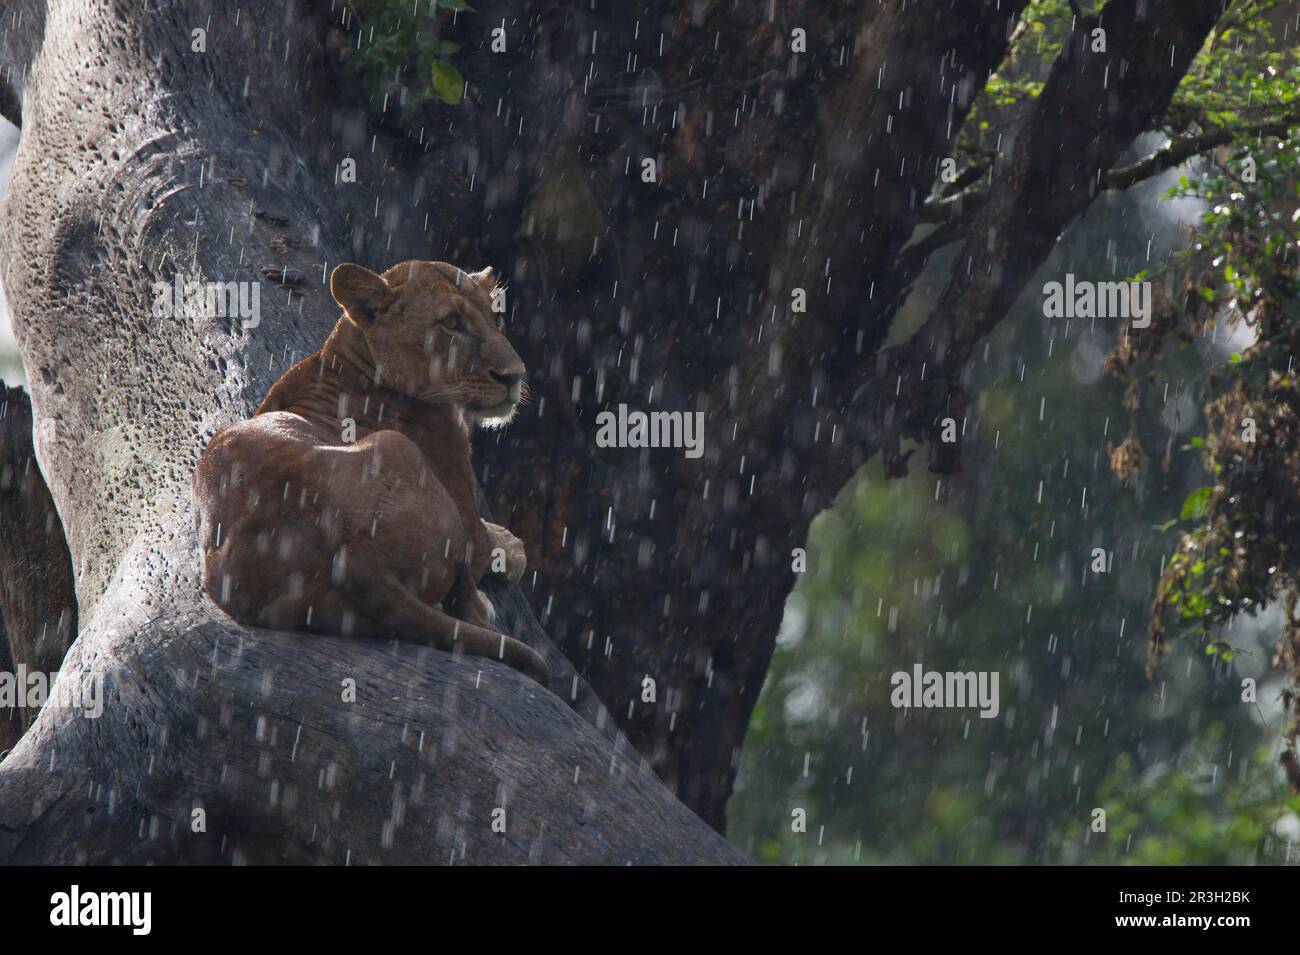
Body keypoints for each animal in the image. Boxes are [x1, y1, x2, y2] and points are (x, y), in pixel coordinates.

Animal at [192, 260, 549, 685]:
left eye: (496, 318)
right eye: (451, 323)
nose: (514, 376)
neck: (345, 356)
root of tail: (352, 550)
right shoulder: (463, 499)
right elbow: (484, 541)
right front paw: (512, 546)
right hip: (396, 445)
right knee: (470, 606)